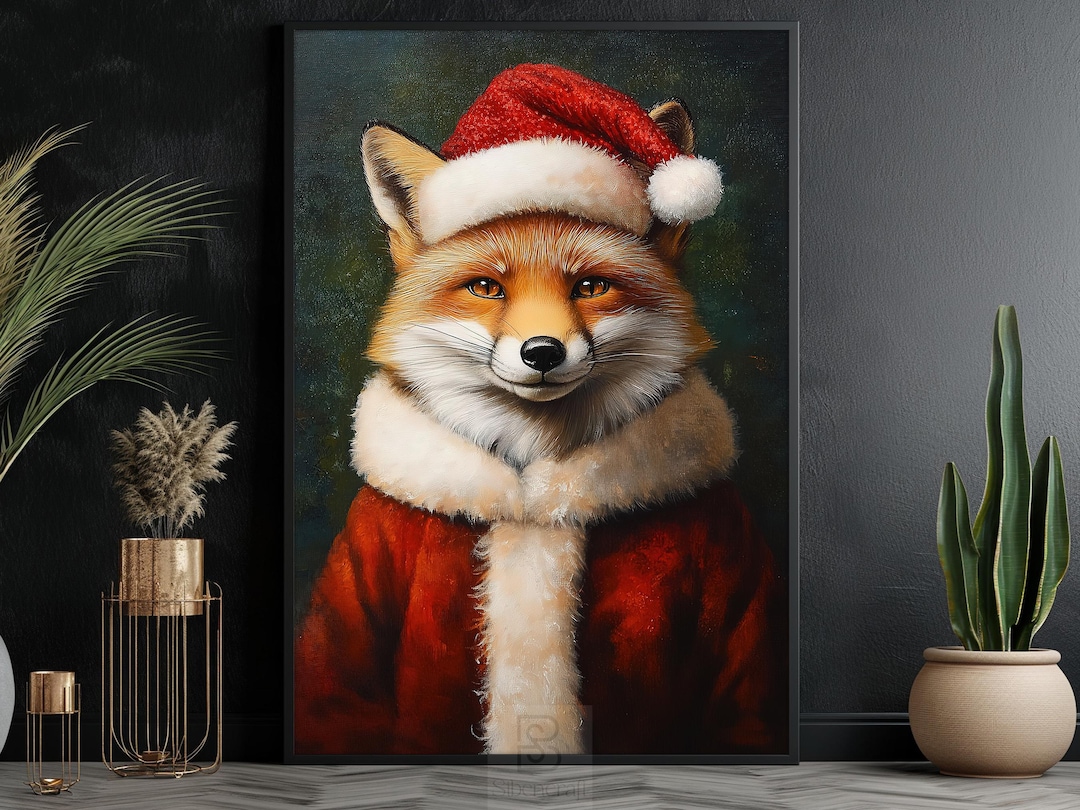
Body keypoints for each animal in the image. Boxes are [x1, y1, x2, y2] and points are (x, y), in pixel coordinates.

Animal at [294, 64, 784, 757]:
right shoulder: (364, 560)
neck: (530, 504)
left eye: (590, 286)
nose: (543, 352)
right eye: (486, 288)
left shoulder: (730, 560)